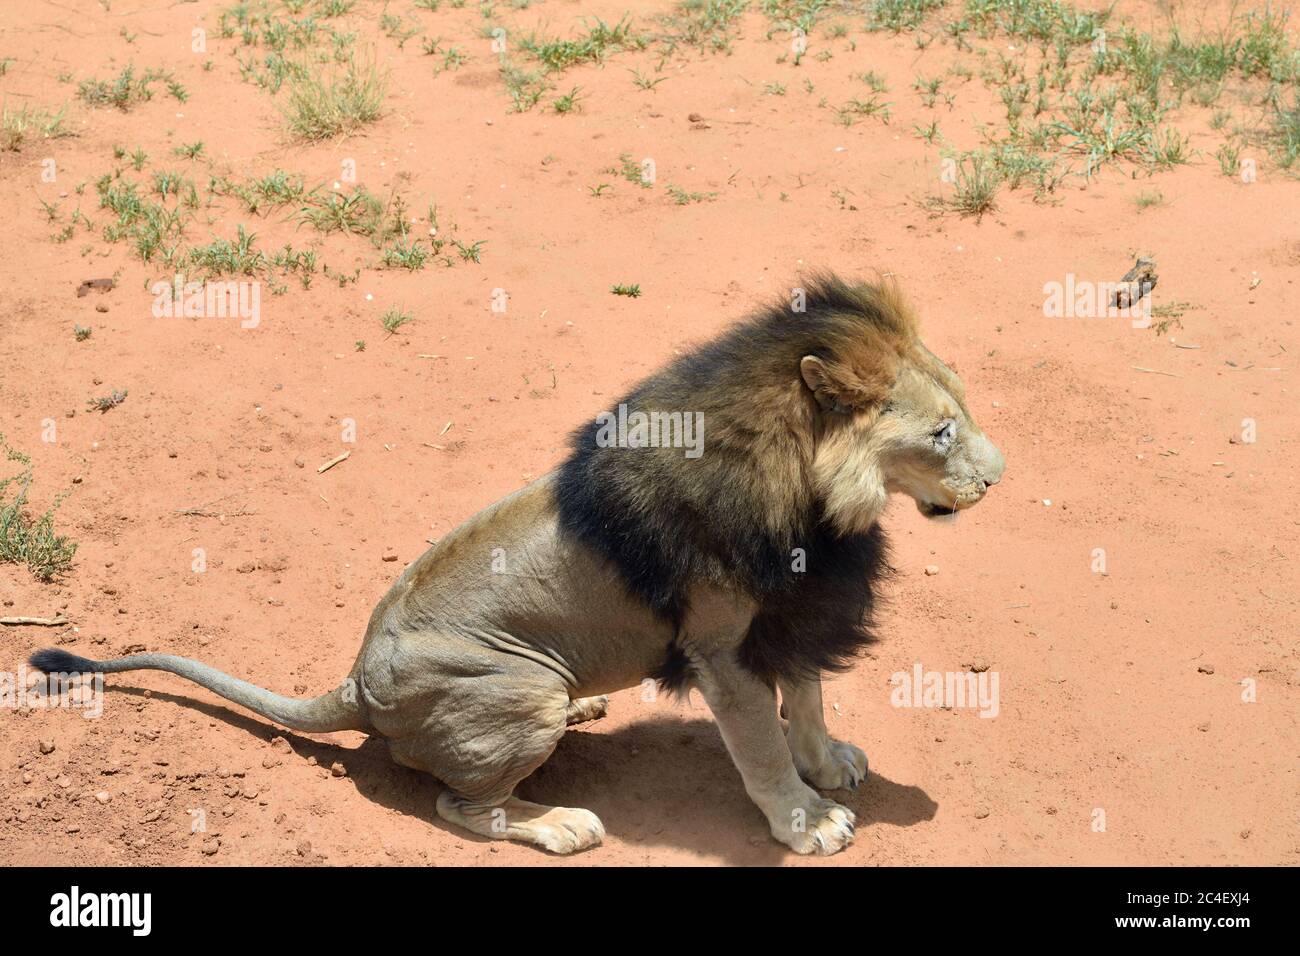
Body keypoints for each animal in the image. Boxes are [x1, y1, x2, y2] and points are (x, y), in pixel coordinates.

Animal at [29, 274, 1004, 856]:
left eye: (962, 407)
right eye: (940, 432)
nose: (999, 477)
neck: (820, 506)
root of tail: (355, 682)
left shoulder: (797, 607)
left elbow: (806, 700)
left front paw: (829, 763)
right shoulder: (723, 649)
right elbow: (762, 743)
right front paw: (804, 821)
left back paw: (591, 710)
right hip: (521, 687)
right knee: (459, 807)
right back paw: (562, 821)